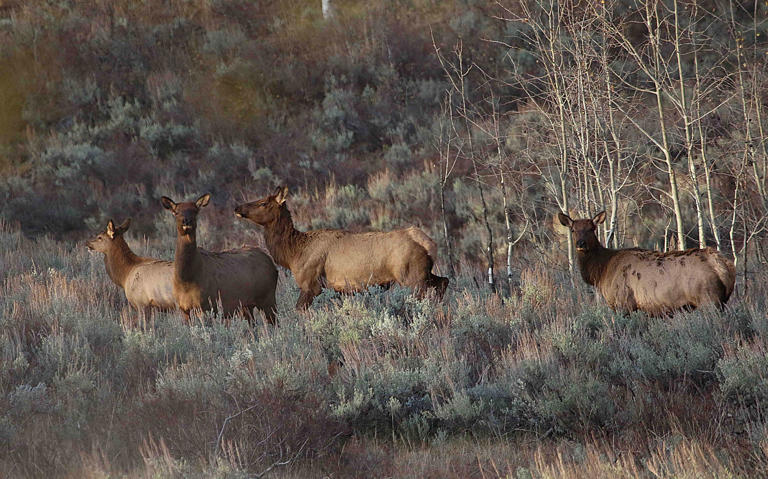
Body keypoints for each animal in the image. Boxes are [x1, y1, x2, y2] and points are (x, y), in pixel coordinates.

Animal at [161, 193, 278, 324]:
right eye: (176, 212)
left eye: (195, 211)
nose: (186, 221)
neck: (187, 280)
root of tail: (272, 263)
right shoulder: (183, 309)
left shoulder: (208, 305)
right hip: (247, 305)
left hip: (268, 297)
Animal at [233, 186, 449, 309]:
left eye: (263, 203)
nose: (237, 207)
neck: (293, 253)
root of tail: (428, 243)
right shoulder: (337, 290)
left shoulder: (311, 284)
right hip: (424, 273)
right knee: (444, 281)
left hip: (411, 277)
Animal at [558, 211, 736, 315]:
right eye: (573, 230)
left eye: (591, 228)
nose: (580, 243)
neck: (601, 272)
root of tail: (722, 265)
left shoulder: (623, 303)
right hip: (721, 301)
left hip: (708, 299)